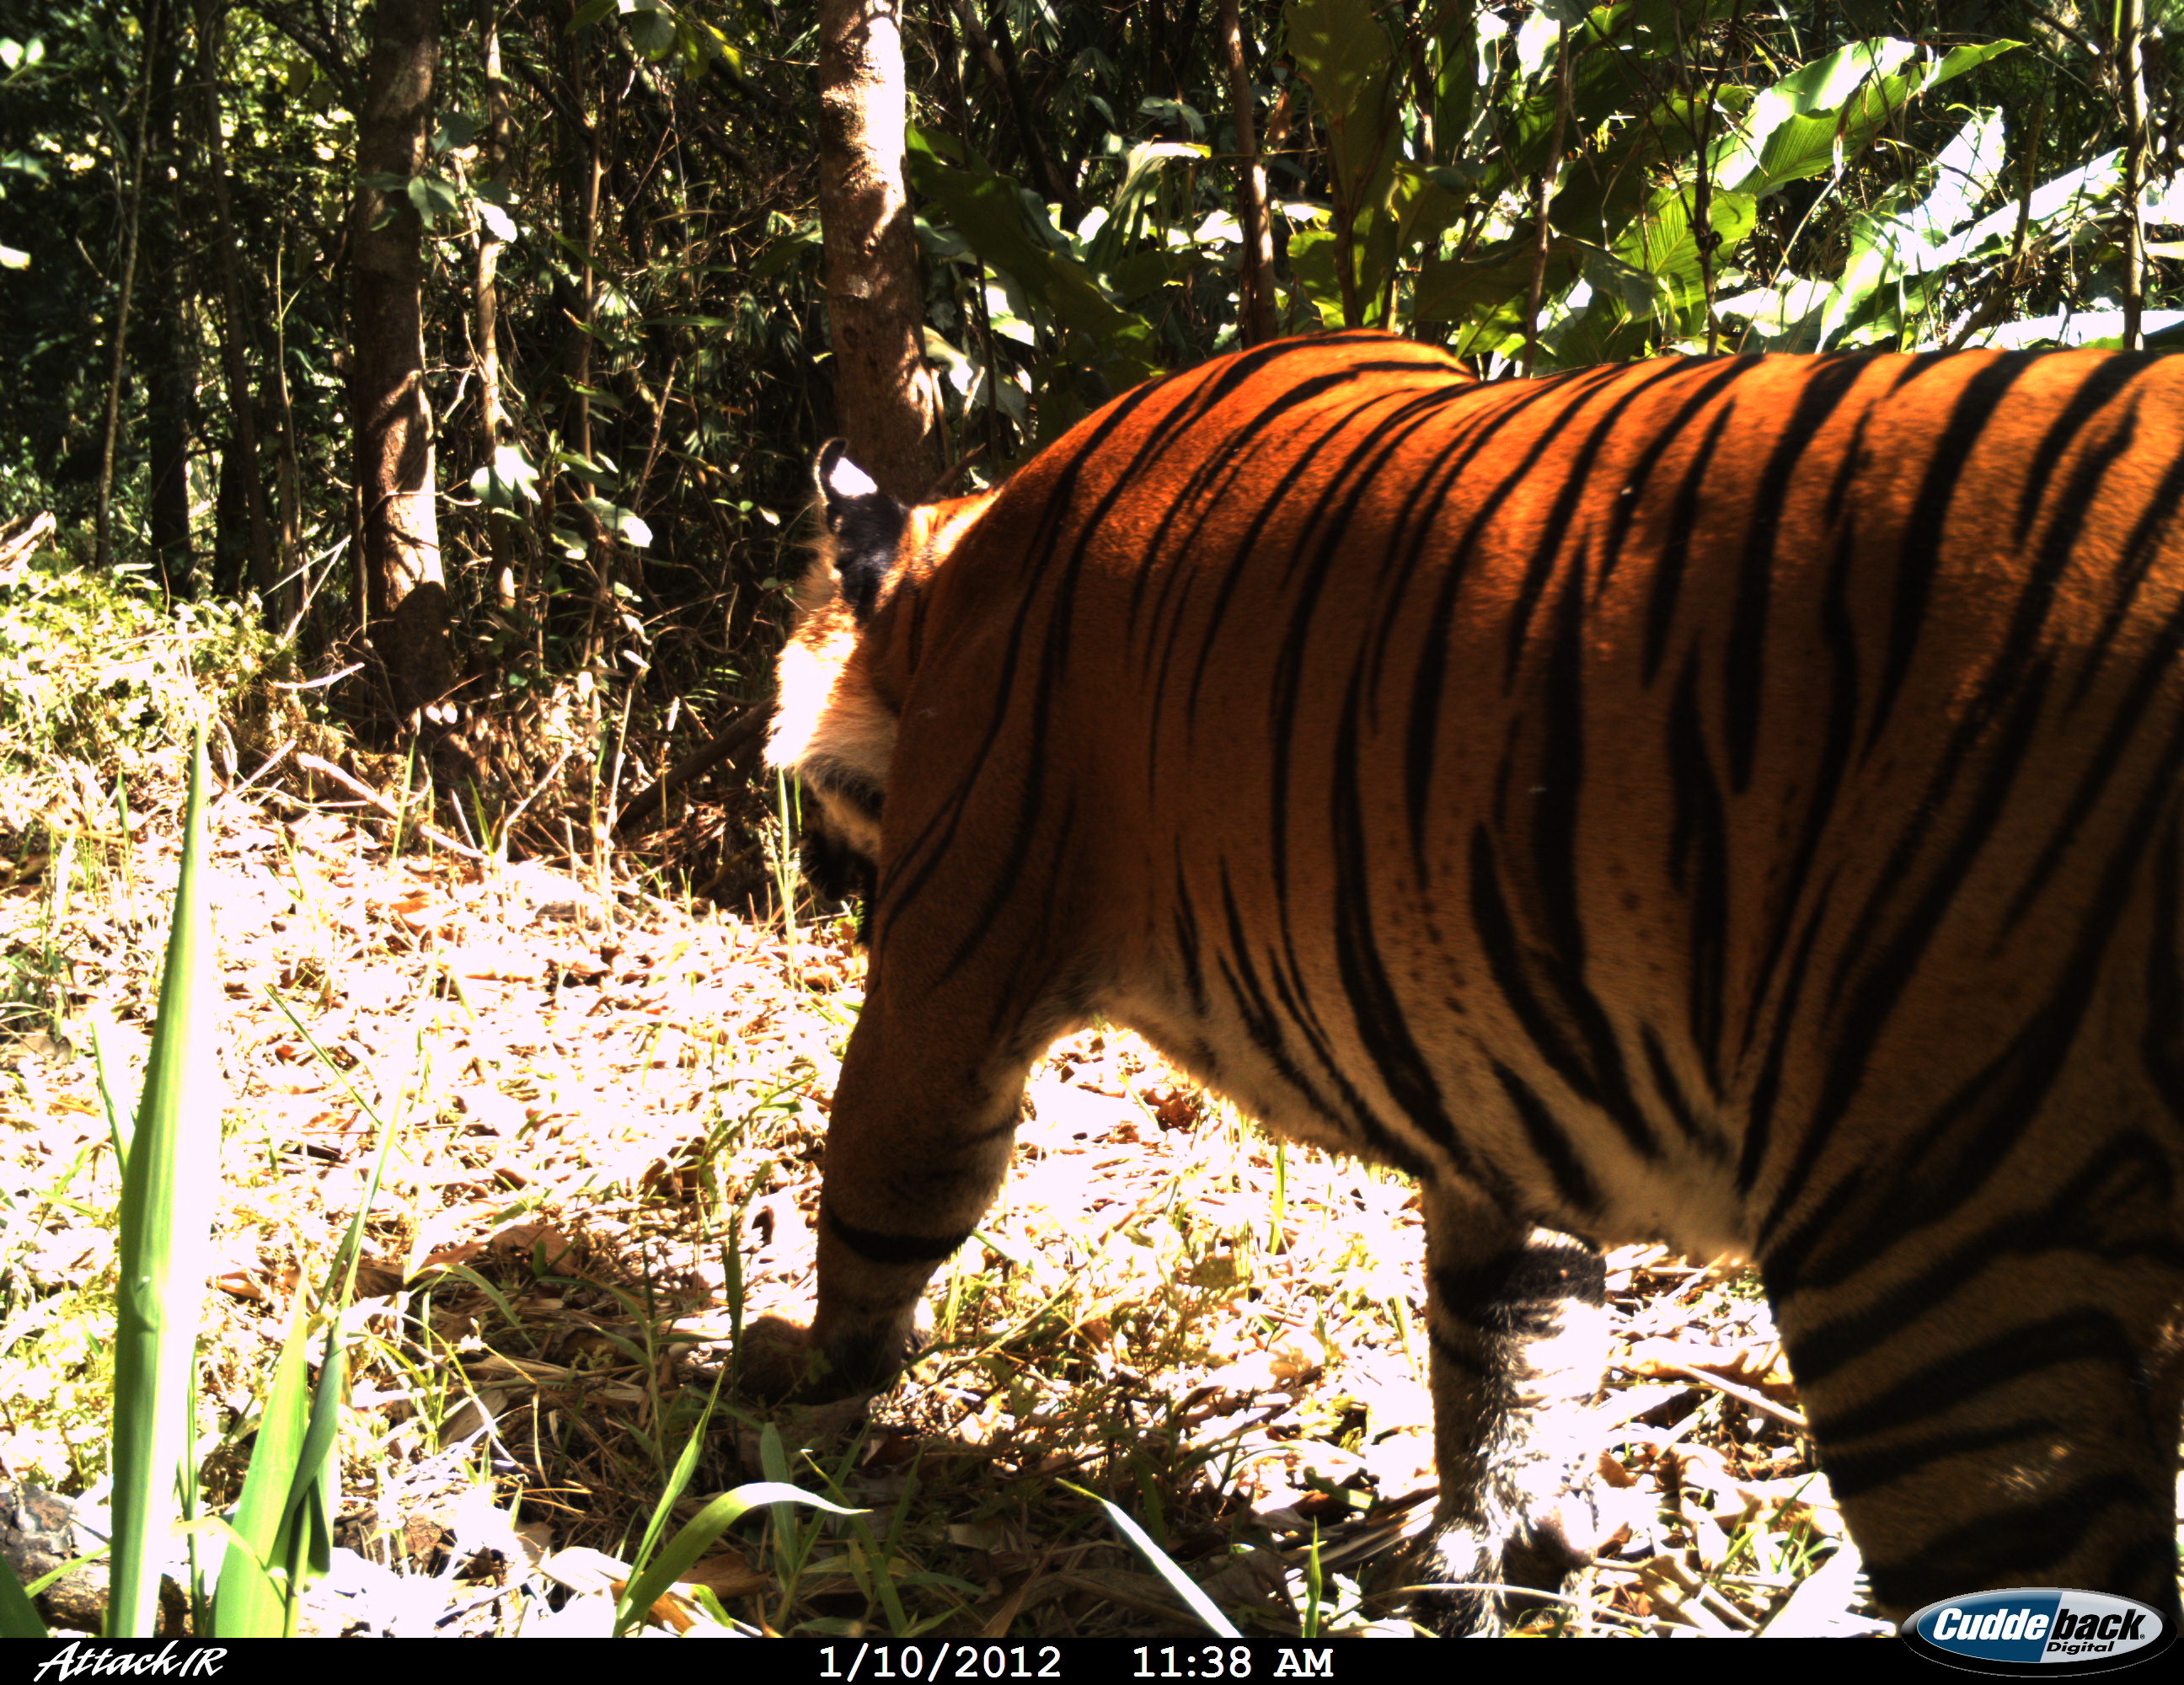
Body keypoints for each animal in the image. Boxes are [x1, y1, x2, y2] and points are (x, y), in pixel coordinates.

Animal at [765, 328, 2184, 1633]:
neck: (958, 585)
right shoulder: (1500, 1052)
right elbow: (1514, 1322)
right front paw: (1498, 1542)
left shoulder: (954, 957)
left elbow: (884, 1184)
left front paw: (803, 1379)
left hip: (1941, 1236)